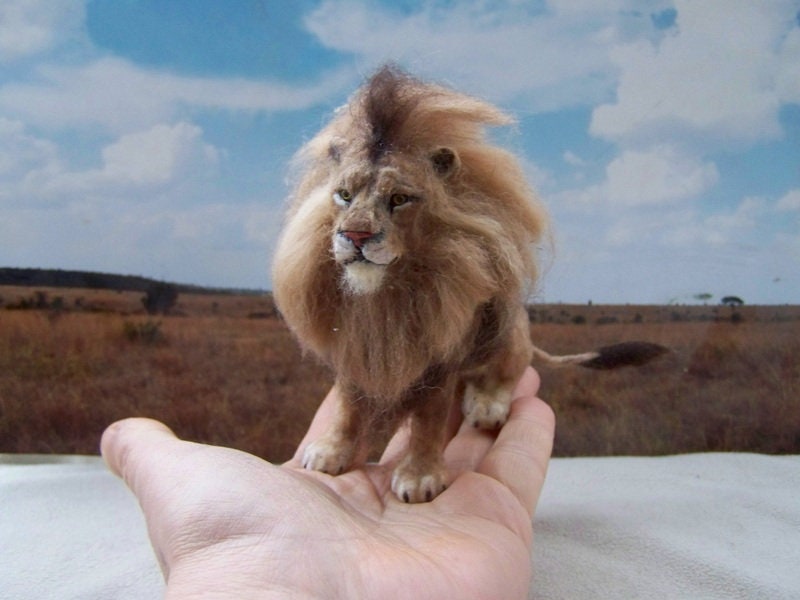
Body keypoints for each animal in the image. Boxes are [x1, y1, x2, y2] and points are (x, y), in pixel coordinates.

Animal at [272, 66, 664, 503]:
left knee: (509, 372)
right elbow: (346, 406)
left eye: (399, 199)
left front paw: (419, 477)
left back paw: (486, 406)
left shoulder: (440, 360)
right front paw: (331, 451)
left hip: (511, 333)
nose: (355, 236)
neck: (384, 297)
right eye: (343, 195)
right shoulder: (351, 348)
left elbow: (428, 422)